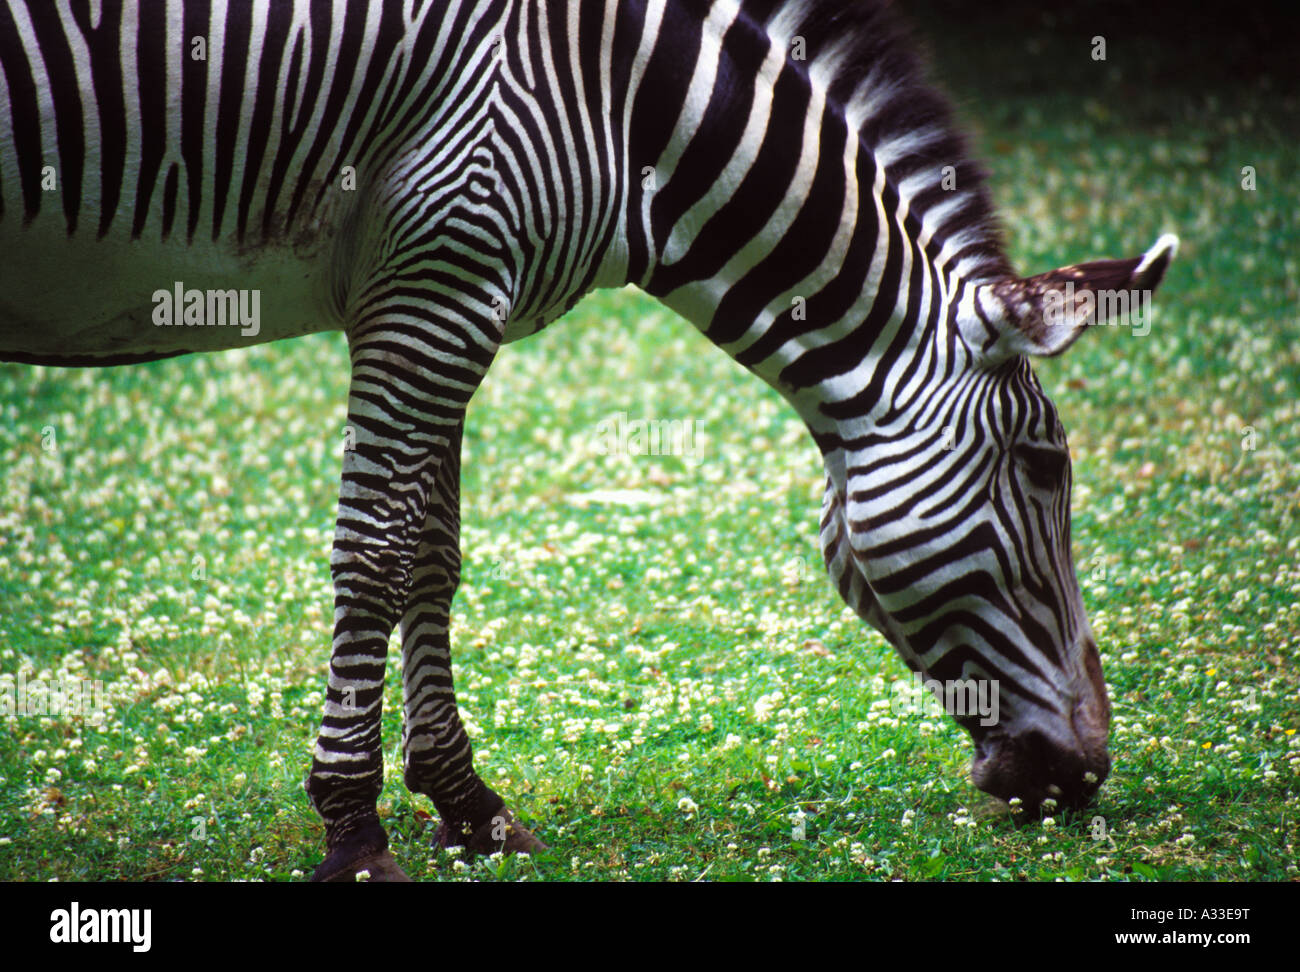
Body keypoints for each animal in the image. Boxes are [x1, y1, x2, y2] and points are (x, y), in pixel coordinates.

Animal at [0, 0, 1177, 881]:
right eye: (1045, 468)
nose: (1088, 773)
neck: (615, 98)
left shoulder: (445, 294)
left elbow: (431, 554)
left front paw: (464, 804)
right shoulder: (436, 281)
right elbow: (375, 554)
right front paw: (352, 829)